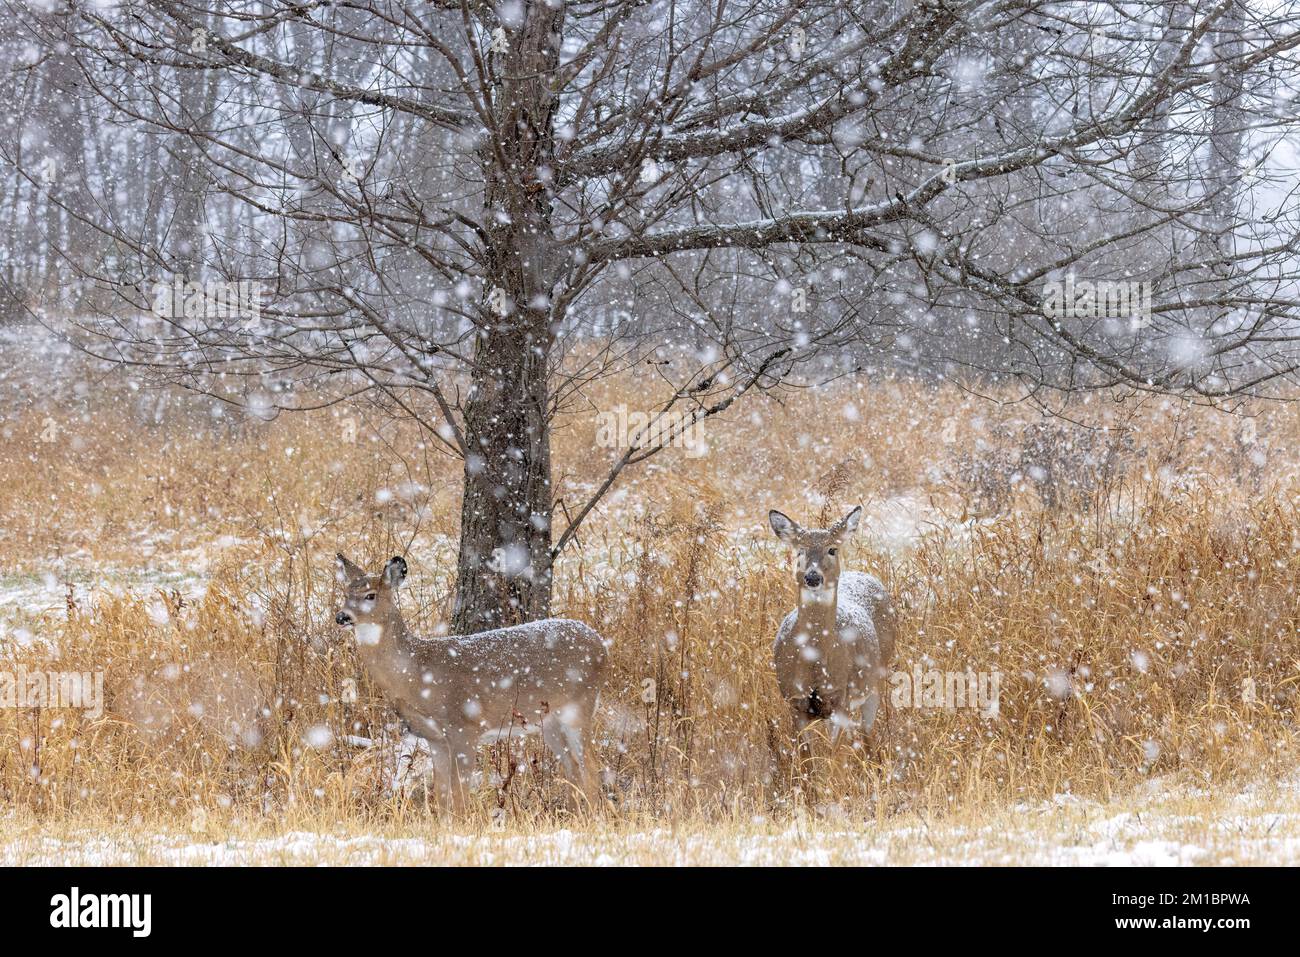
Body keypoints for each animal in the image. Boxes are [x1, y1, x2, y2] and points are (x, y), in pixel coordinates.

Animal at [334, 553, 609, 814]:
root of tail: (600, 644)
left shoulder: (464, 726)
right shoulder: (435, 738)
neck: (418, 676)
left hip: (579, 705)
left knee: (591, 764)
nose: (341, 616)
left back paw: (593, 816)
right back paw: (574, 814)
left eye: (370, 595)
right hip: (548, 720)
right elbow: (441, 794)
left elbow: (460, 794)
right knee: (572, 765)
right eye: (345, 594)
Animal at [768, 506, 898, 775]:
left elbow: (832, 758)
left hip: (875, 681)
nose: (812, 577)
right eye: (800, 549)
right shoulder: (794, 701)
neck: (814, 664)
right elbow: (806, 761)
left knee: (866, 733)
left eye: (832, 549)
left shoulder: (840, 699)